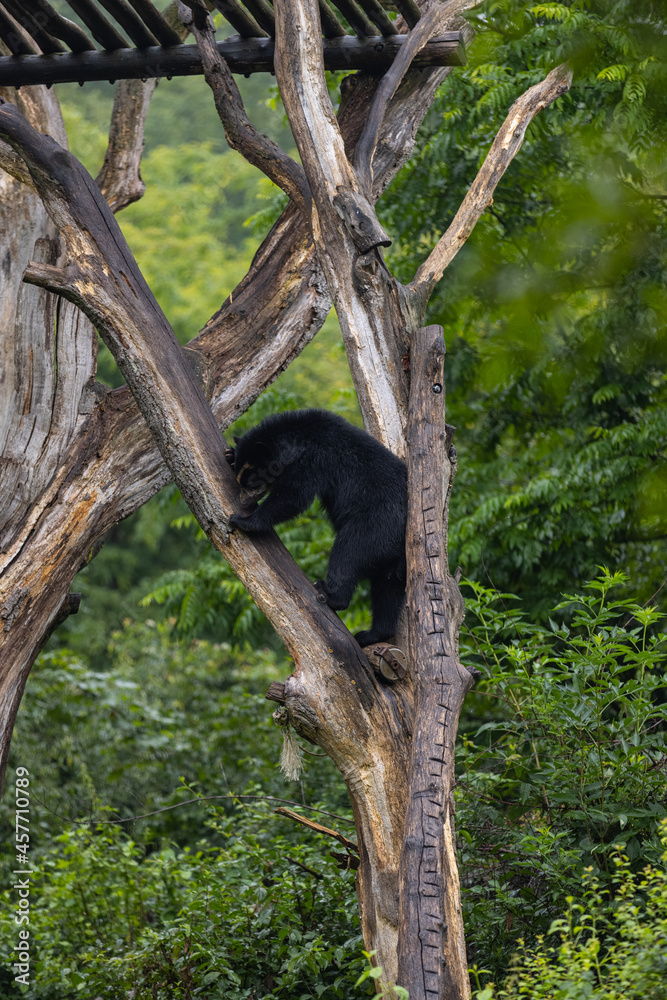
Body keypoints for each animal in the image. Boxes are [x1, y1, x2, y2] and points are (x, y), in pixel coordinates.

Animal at [226, 409, 407, 647]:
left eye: (252, 481)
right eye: (241, 480)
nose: (243, 501)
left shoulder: (315, 459)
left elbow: (293, 494)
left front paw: (243, 520)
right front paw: (229, 453)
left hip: (376, 524)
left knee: (348, 554)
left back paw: (331, 595)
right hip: (394, 556)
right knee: (388, 589)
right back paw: (371, 634)